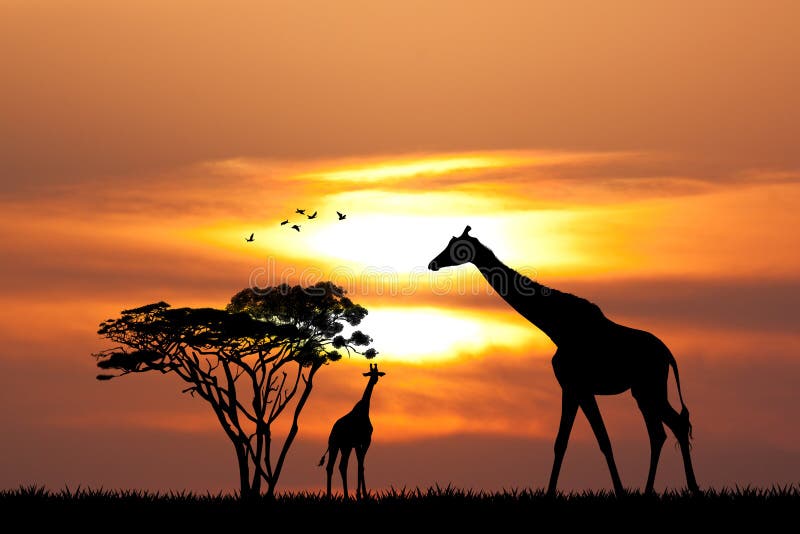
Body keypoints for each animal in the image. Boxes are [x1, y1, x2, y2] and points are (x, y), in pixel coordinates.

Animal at [318, 363, 386, 499]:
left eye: (377, 373)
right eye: (371, 373)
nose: (375, 380)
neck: (365, 410)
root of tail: (332, 433)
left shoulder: (358, 444)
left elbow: (360, 465)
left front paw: (361, 494)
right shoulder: (365, 441)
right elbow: (361, 465)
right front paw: (362, 494)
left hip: (341, 446)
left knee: (335, 466)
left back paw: (334, 496)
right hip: (339, 446)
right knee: (338, 466)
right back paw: (341, 496)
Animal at [427, 226, 699, 496]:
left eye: (457, 248)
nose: (433, 263)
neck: (556, 327)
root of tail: (668, 355)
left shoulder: (577, 387)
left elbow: (600, 440)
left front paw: (618, 492)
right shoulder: (573, 388)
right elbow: (565, 441)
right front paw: (552, 492)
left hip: (650, 388)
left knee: (672, 426)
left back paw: (687, 488)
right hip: (642, 392)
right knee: (663, 431)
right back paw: (657, 489)